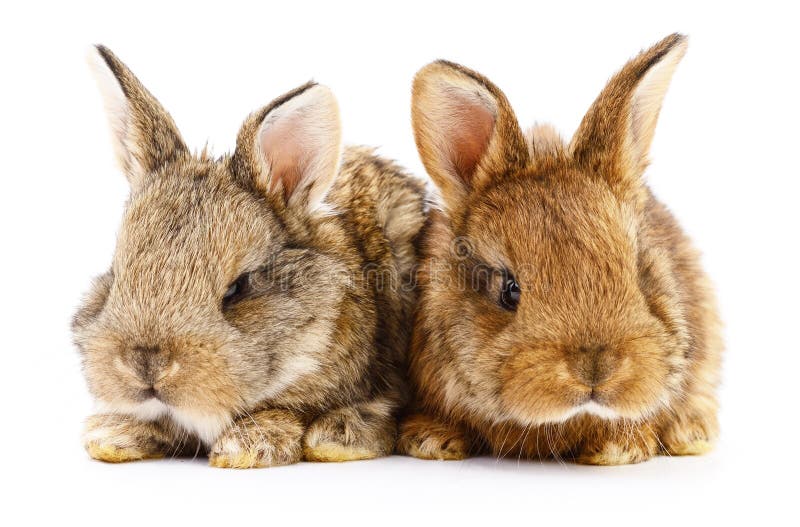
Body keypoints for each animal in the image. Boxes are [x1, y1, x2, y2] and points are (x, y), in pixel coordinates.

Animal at [396, 34, 723, 465]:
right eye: (509, 290)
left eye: (639, 273)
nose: (595, 369)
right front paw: (430, 440)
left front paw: (618, 448)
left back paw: (692, 433)